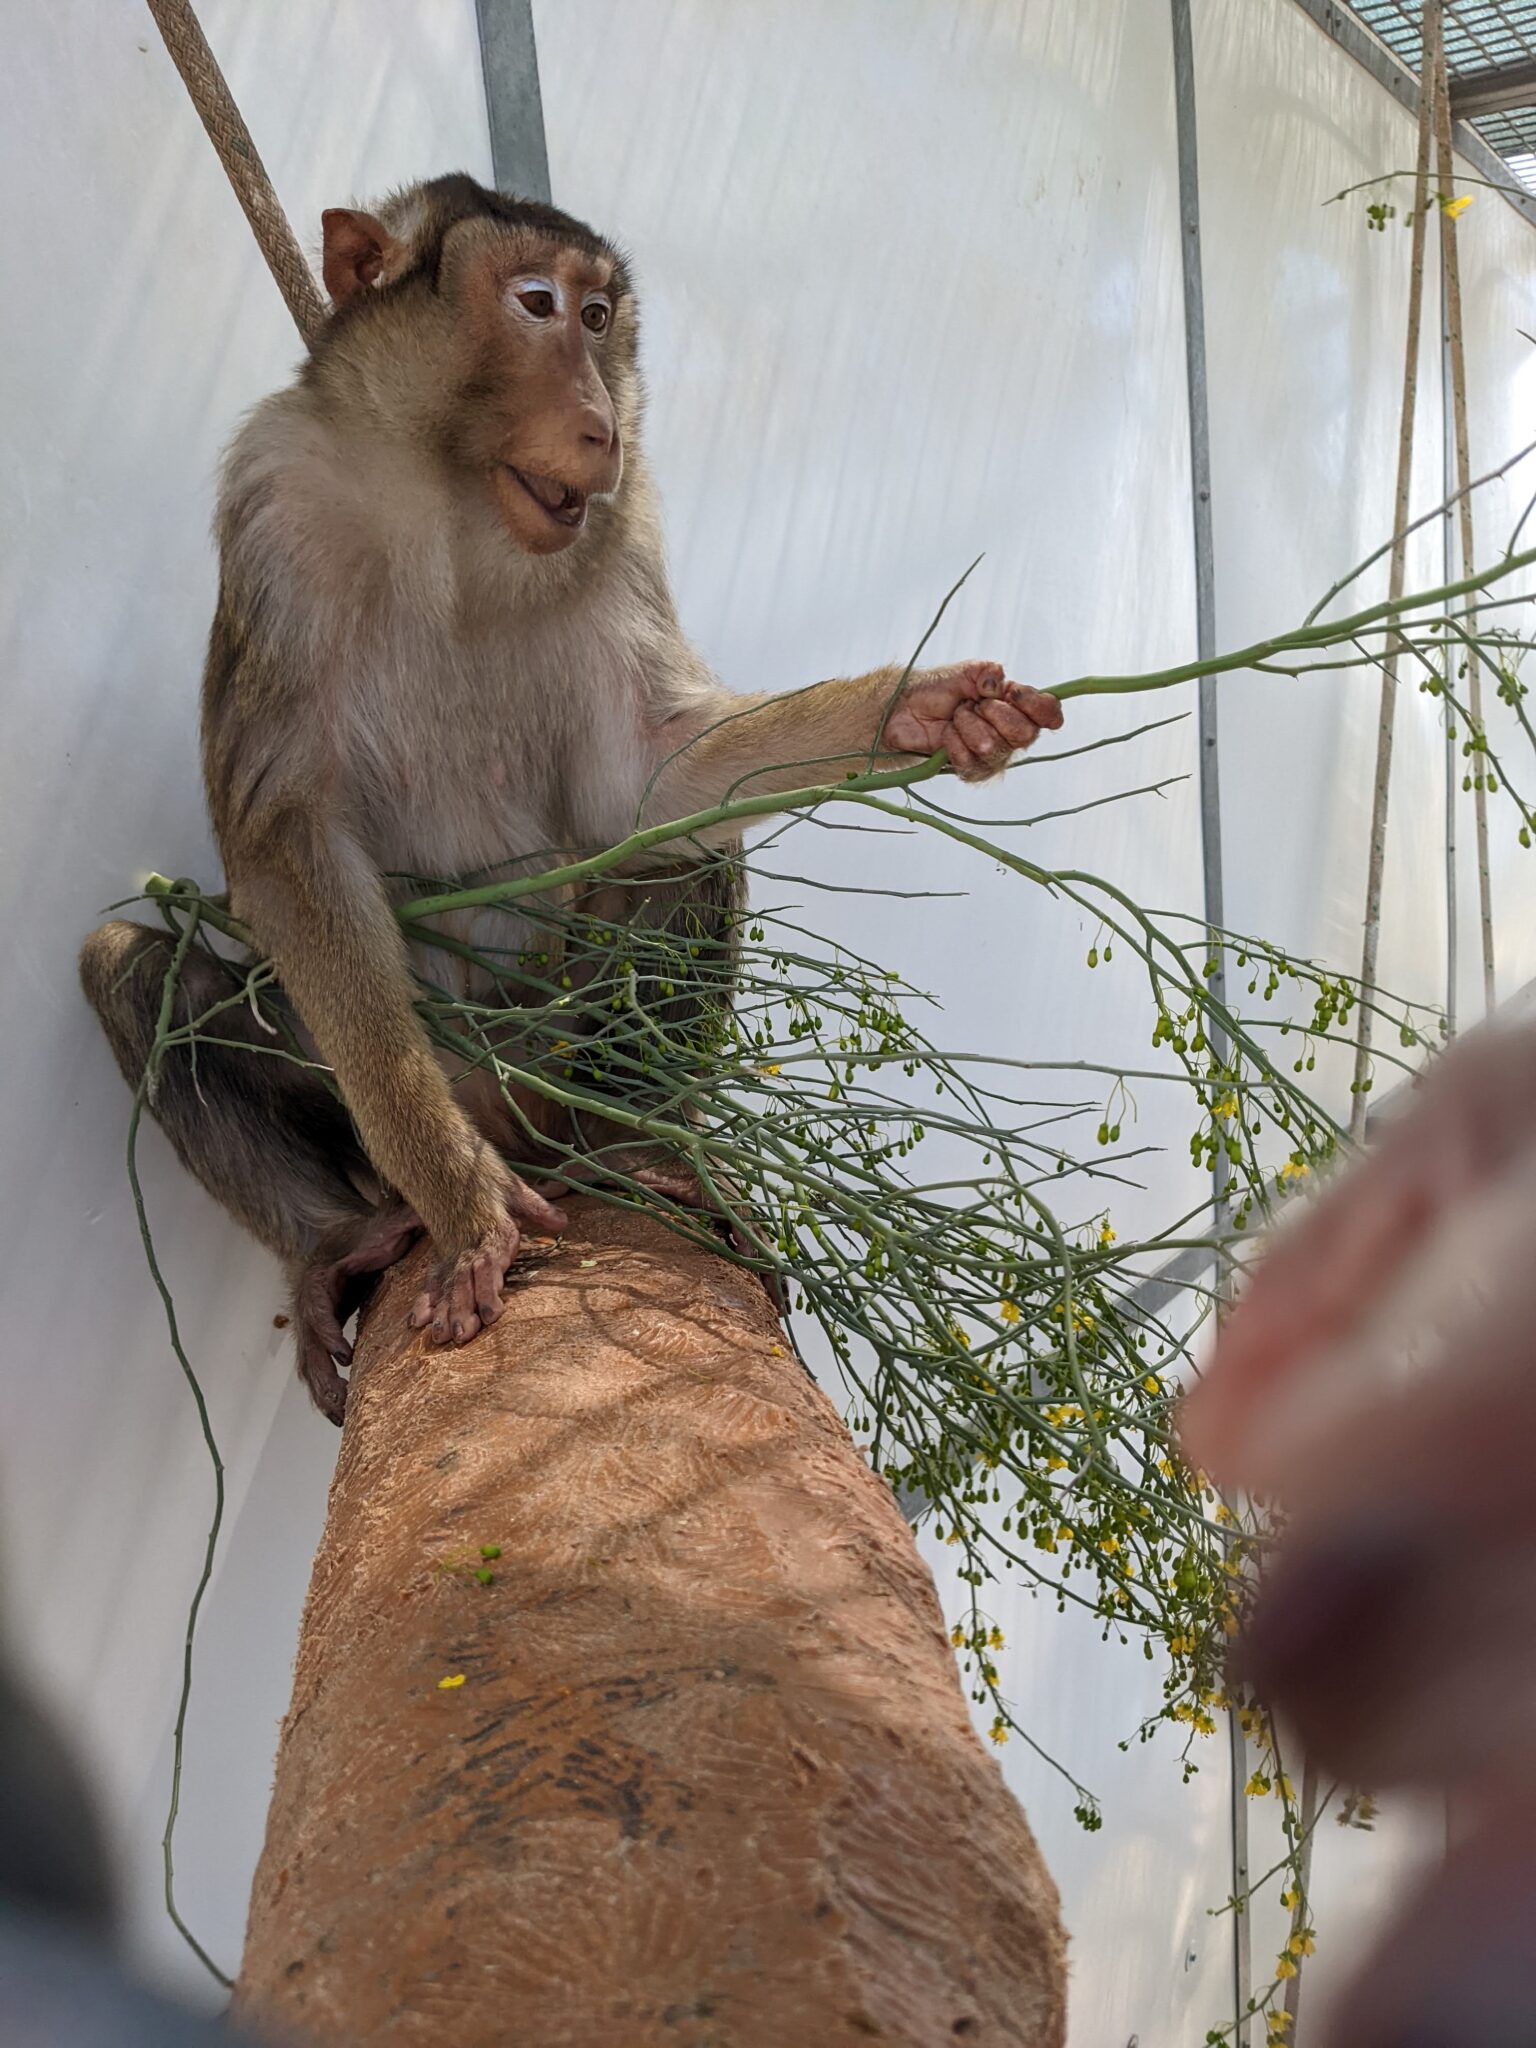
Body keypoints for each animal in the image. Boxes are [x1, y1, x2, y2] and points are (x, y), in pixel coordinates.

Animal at [79, 173, 1063, 1423]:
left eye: (600, 319)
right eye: (536, 303)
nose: (602, 419)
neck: (451, 503)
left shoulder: (623, 515)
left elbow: (650, 778)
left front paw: (923, 709)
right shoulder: (276, 495)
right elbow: (283, 844)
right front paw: (456, 1197)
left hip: (551, 1046)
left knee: (687, 853)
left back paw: (634, 1147)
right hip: (446, 1066)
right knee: (131, 969)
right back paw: (348, 1234)